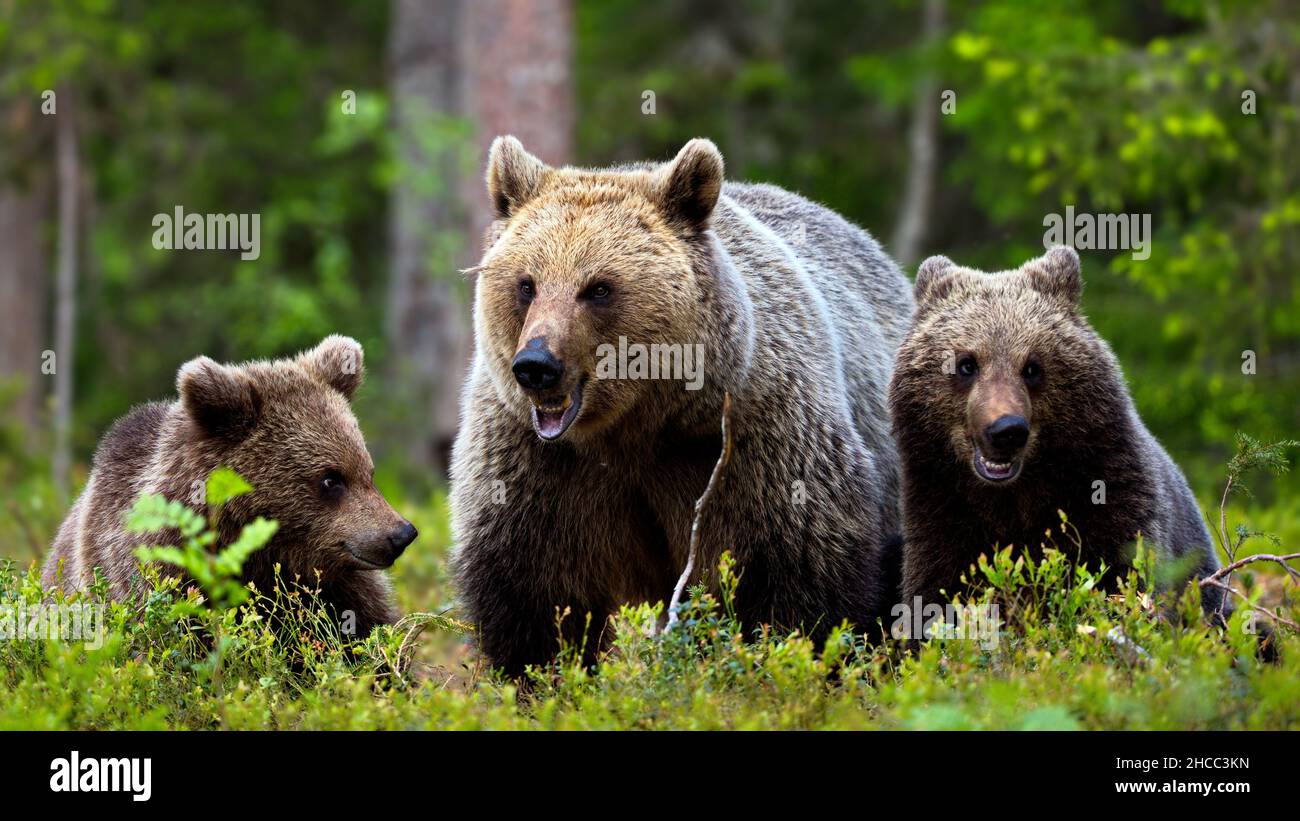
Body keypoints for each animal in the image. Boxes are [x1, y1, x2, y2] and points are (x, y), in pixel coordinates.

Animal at [450, 135, 915, 676]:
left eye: (598, 287)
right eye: (527, 283)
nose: (536, 365)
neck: (632, 428)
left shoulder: (750, 440)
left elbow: (794, 575)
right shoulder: (537, 462)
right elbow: (534, 590)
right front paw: (548, 673)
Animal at [888, 246, 1226, 625]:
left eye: (1032, 367)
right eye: (966, 364)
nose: (1006, 430)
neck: (1014, 496)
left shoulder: (1110, 499)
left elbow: (1125, 577)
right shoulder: (941, 514)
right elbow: (938, 595)